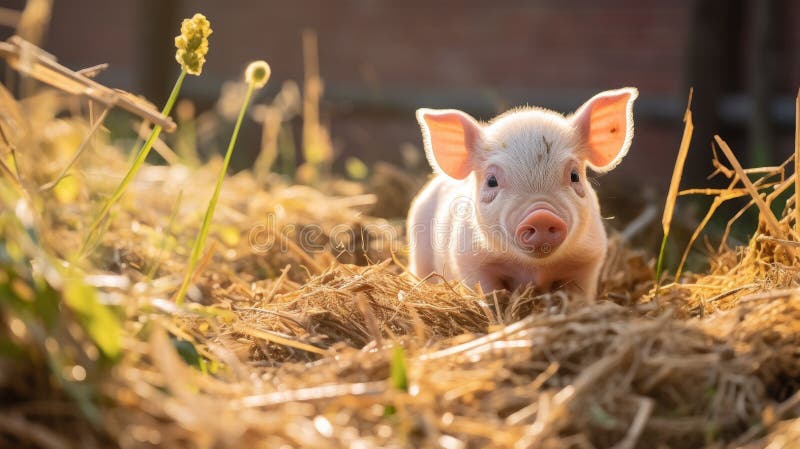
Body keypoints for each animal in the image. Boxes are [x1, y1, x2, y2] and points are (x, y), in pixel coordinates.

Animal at [406, 88, 638, 300]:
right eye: (492, 181)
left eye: (574, 176)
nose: (541, 216)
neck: (535, 269)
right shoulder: (470, 260)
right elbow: (485, 289)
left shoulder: (589, 259)